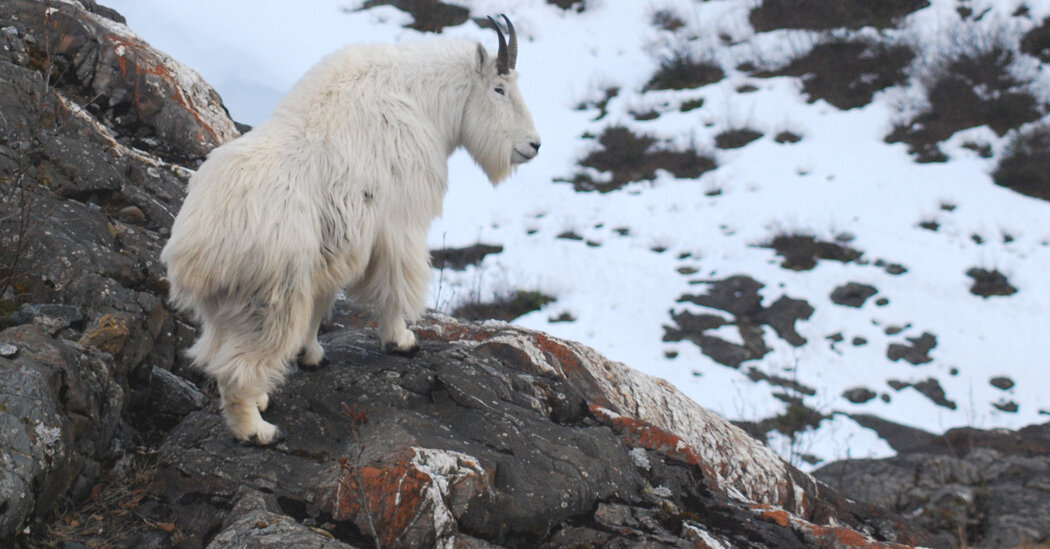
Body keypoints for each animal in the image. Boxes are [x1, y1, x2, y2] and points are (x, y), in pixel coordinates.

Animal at [165, 17, 541, 445]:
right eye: (499, 88)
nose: (534, 145)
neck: (423, 100)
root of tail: (195, 249)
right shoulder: (397, 224)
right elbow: (394, 284)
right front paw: (401, 341)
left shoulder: (337, 246)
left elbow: (323, 302)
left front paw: (311, 355)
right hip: (272, 297)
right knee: (237, 369)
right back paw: (258, 430)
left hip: (225, 309)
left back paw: (260, 400)